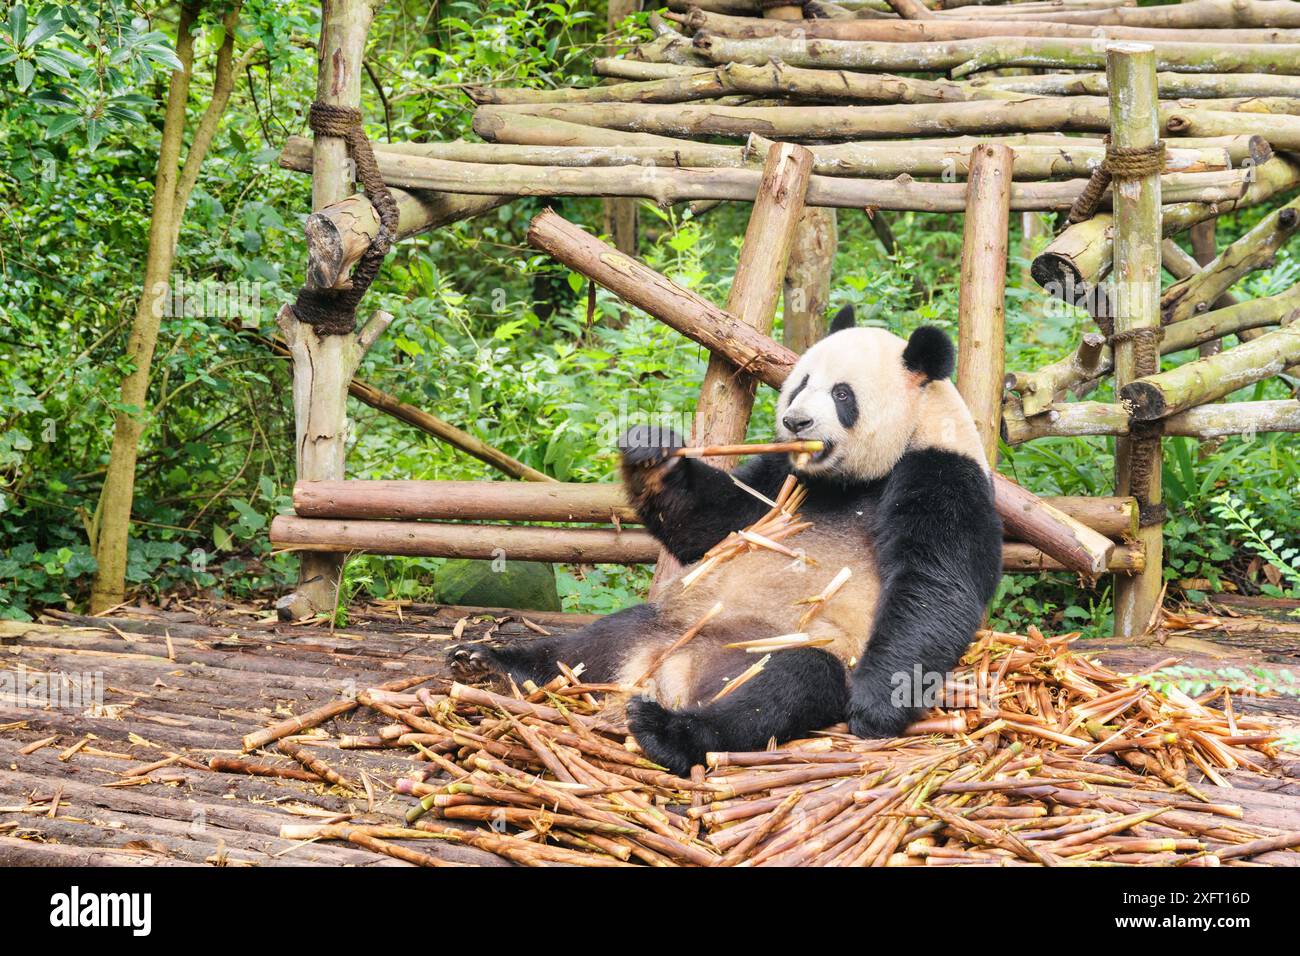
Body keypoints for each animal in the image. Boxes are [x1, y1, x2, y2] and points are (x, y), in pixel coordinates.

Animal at [449, 307, 1003, 776]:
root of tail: (672, 675)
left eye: (843, 395)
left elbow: (935, 586)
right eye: (801, 384)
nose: (796, 422)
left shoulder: (940, 472)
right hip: (669, 626)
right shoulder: (783, 480)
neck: (857, 478)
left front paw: (876, 707)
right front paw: (651, 450)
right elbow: (714, 525)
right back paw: (493, 664)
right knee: (590, 645)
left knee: (780, 688)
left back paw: (667, 732)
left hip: (772, 647)